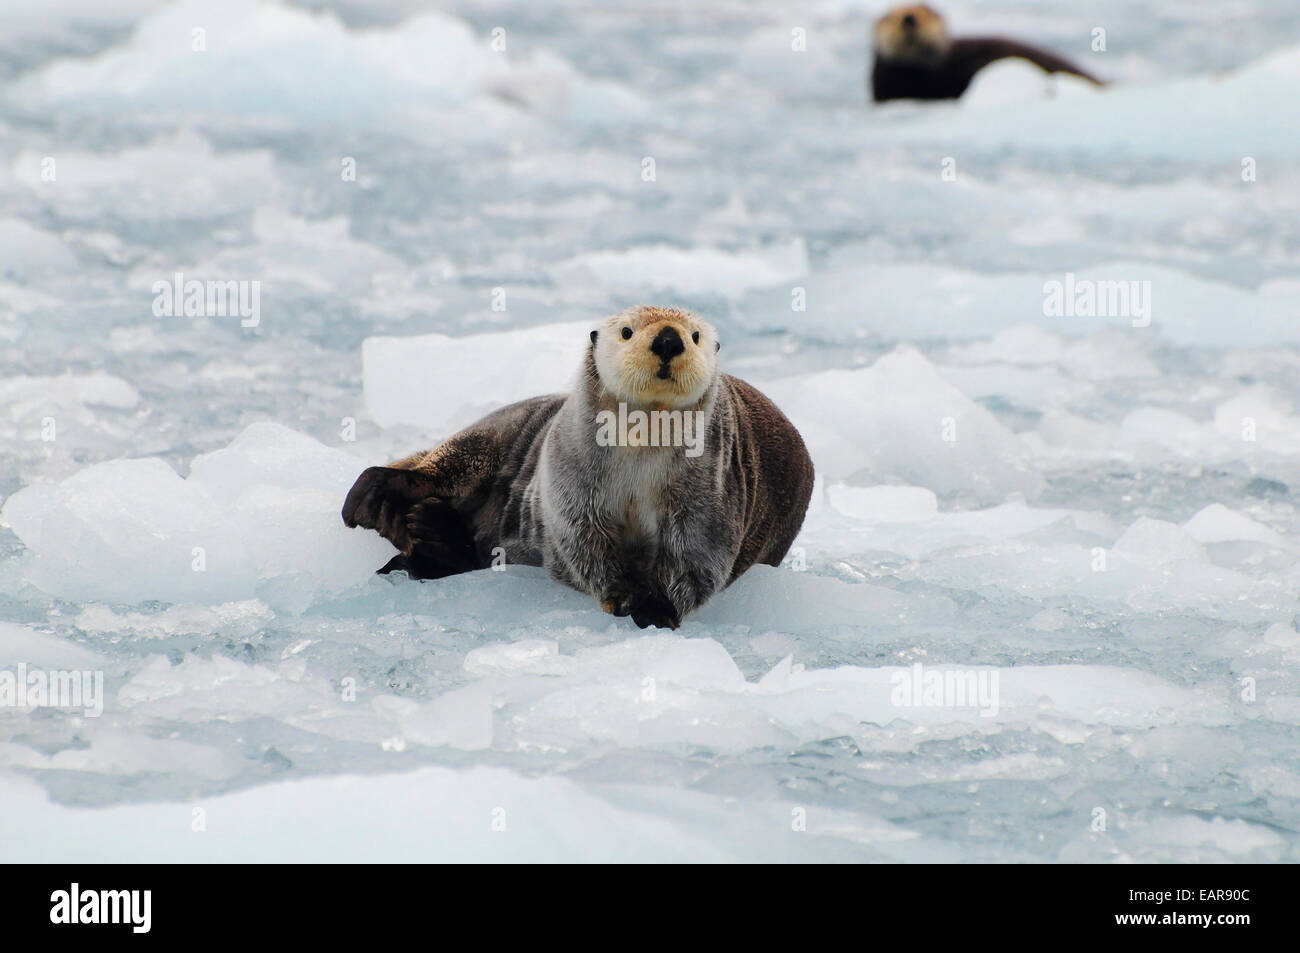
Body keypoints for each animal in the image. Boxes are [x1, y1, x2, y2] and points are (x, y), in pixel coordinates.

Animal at [342, 306, 815, 630]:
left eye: (696, 336)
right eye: (626, 331)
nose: (668, 339)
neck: (643, 439)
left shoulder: (712, 483)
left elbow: (698, 551)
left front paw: (658, 607)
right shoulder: (568, 460)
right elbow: (582, 536)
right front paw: (627, 598)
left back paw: (427, 534)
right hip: (510, 427)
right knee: (447, 463)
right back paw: (382, 498)